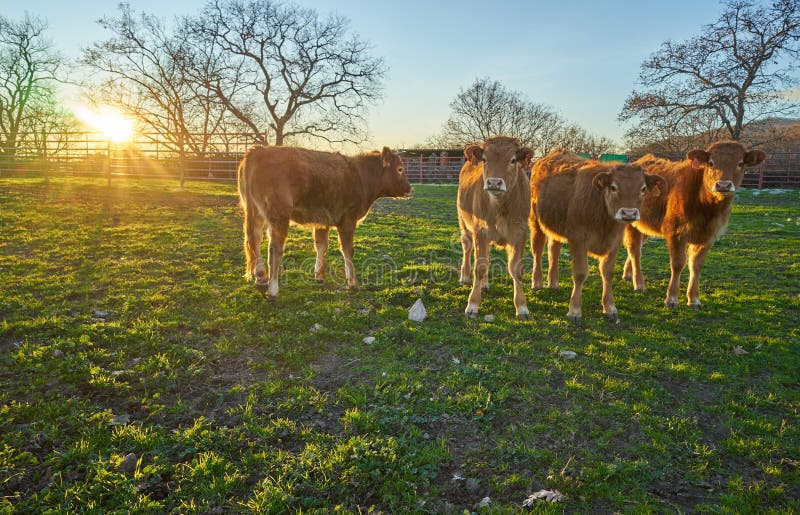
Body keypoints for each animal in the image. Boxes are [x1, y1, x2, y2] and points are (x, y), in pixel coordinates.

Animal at [237, 145, 412, 298]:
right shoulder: (348, 219)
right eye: (400, 169)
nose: (410, 189)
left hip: (254, 212)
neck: (360, 176)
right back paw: (273, 290)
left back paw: (261, 277)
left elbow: (321, 246)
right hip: (278, 214)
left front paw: (319, 275)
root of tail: (257, 151)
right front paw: (352, 283)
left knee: (254, 241)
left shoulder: (322, 220)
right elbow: (348, 250)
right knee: (274, 249)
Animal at [457, 136, 533, 319]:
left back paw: (484, 284)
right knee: (467, 248)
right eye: (485, 159)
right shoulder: (480, 231)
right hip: (464, 224)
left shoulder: (520, 233)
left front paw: (522, 307)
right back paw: (464, 277)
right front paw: (472, 304)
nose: (494, 182)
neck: (500, 207)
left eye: (513, 160)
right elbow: (480, 267)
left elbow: (516, 269)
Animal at [529, 150, 664, 322]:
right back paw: (537, 282)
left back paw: (553, 283)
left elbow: (608, 272)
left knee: (554, 250)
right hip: (535, 221)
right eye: (613, 187)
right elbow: (580, 273)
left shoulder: (614, 241)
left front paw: (610, 307)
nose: (629, 213)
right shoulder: (578, 239)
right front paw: (574, 310)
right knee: (537, 250)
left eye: (643, 188)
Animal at [622, 140, 767, 308]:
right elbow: (678, 264)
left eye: (740, 163)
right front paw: (671, 298)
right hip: (631, 221)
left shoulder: (708, 236)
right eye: (711, 163)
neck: (706, 209)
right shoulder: (676, 232)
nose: (723, 185)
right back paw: (639, 284)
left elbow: (696, 266)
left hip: (646, 225)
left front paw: (694, 299)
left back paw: (628, 274)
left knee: (636, 248)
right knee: (634, 250)